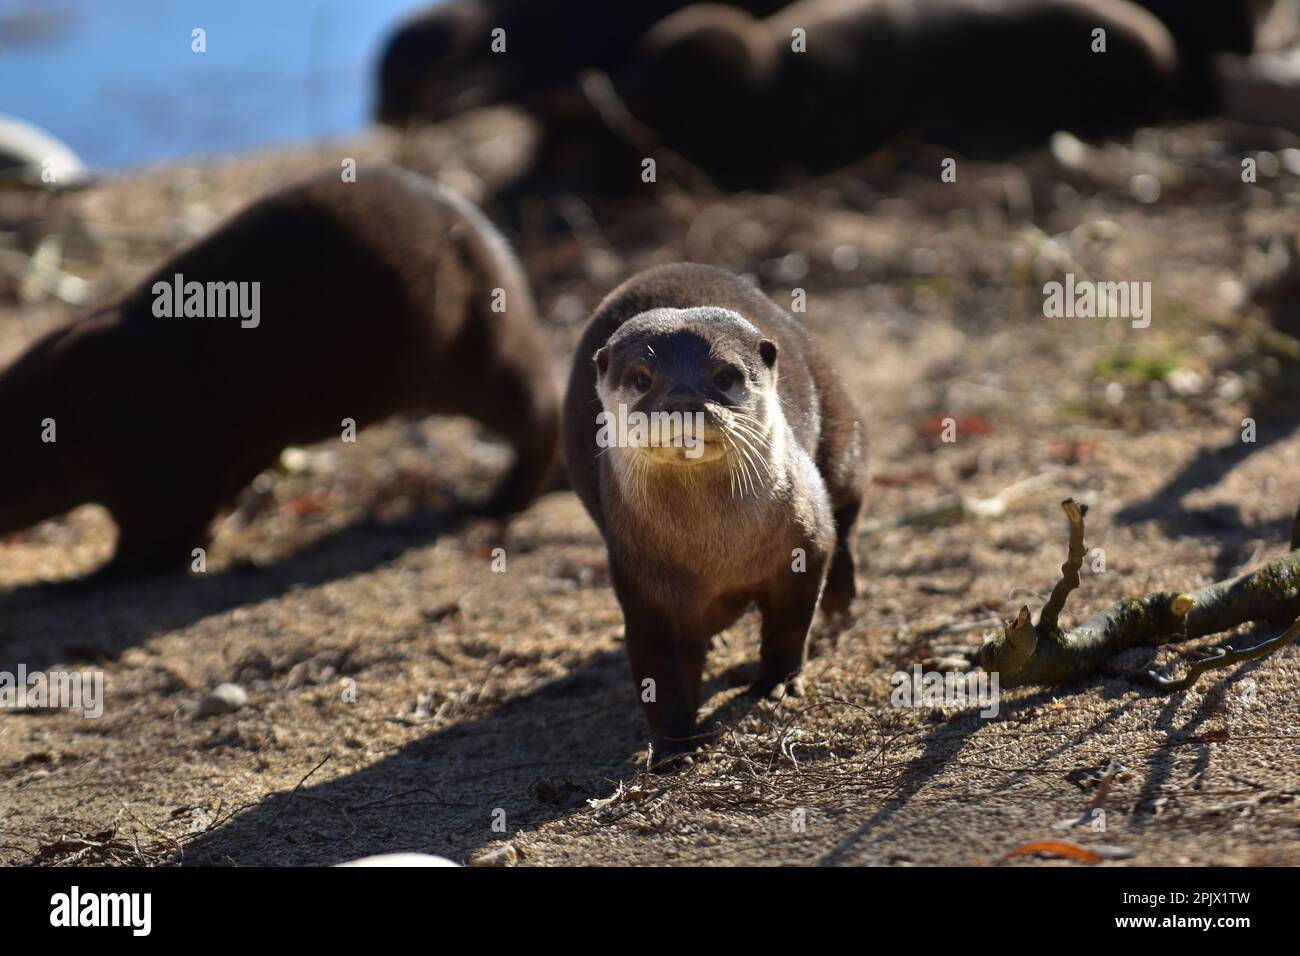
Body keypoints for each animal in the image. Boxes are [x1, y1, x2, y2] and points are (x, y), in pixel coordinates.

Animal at [0, 165, 560, 577]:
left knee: (542, 414)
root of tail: (497, 245)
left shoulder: (157, 446)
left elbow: (159, 531)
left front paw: (93, 576)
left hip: (489, 350)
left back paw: (499, 502)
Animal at [565, 264, 866, 763]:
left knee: (846, 515)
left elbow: (789, 624)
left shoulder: (803, 543)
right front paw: (674, 747)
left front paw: (776, 685)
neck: (719, 554)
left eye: (724, 375)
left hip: (841, 435)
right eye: (643, 378)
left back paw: (841, 599)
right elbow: (659, 673)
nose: (683, 402)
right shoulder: (641, 584)